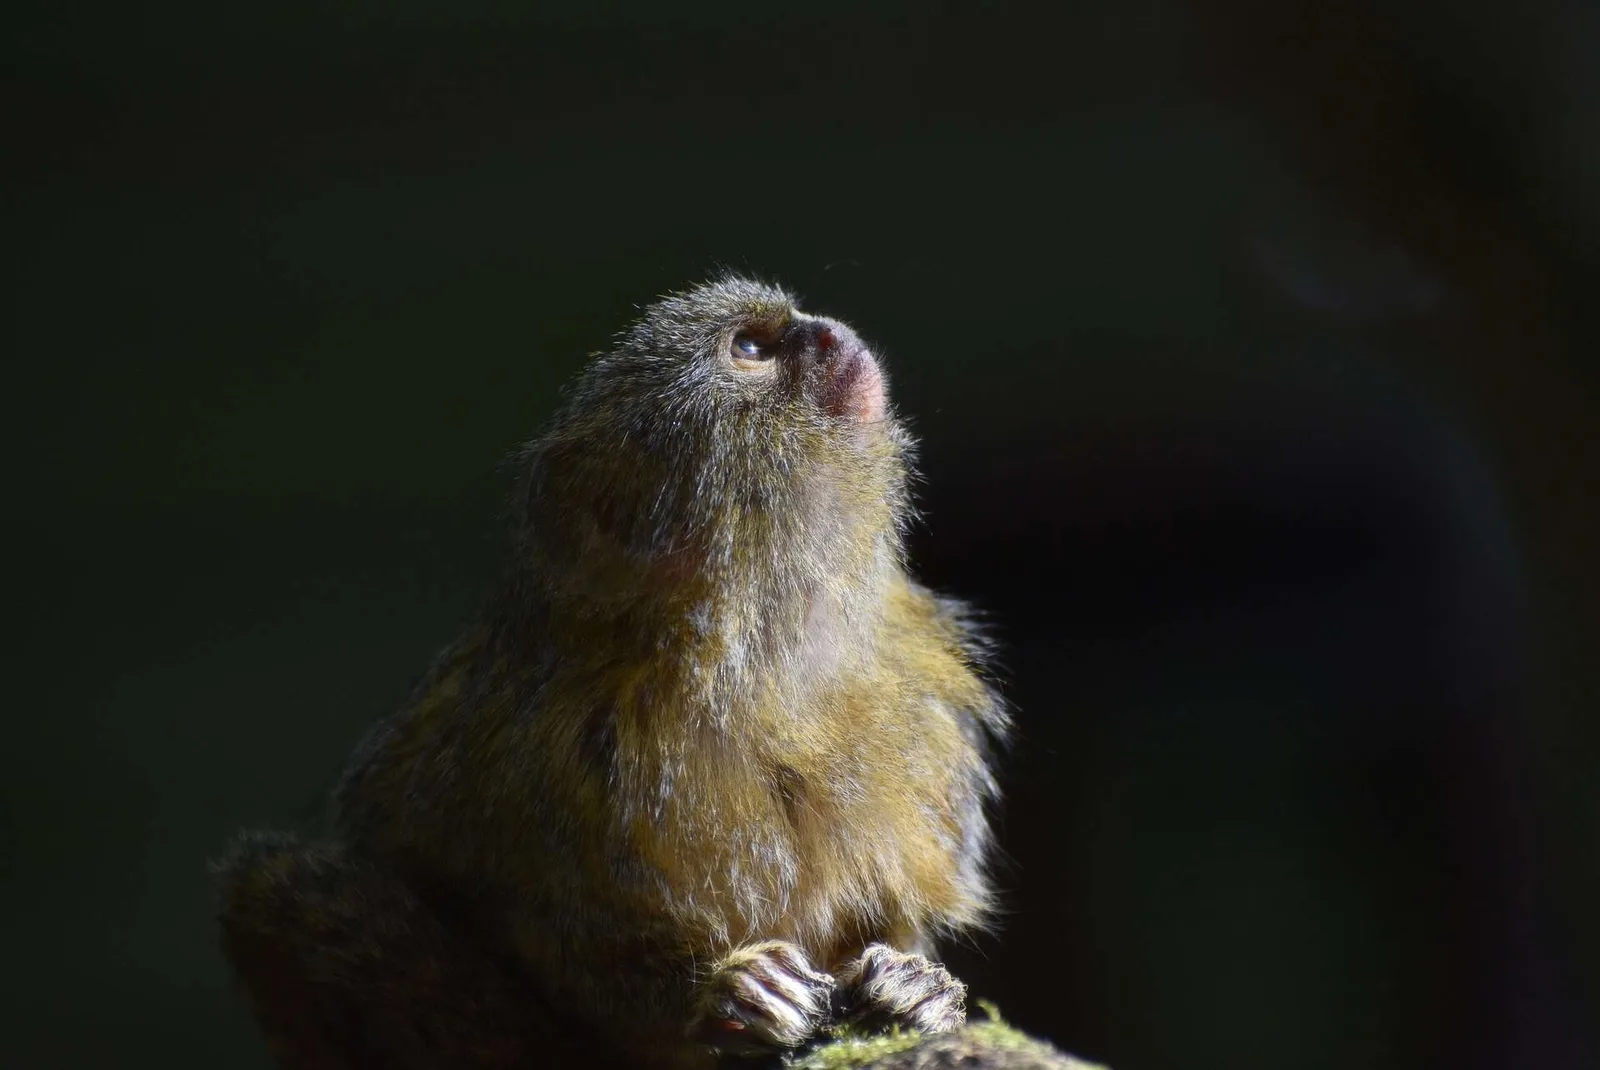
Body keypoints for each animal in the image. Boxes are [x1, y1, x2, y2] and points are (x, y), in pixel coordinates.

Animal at [215, 276, 1010, 1069]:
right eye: (751, 349)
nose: (826, 330)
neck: (767, 642)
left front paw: (914, 986)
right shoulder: (537, 736)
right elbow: (533, 919)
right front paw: (722, 996)